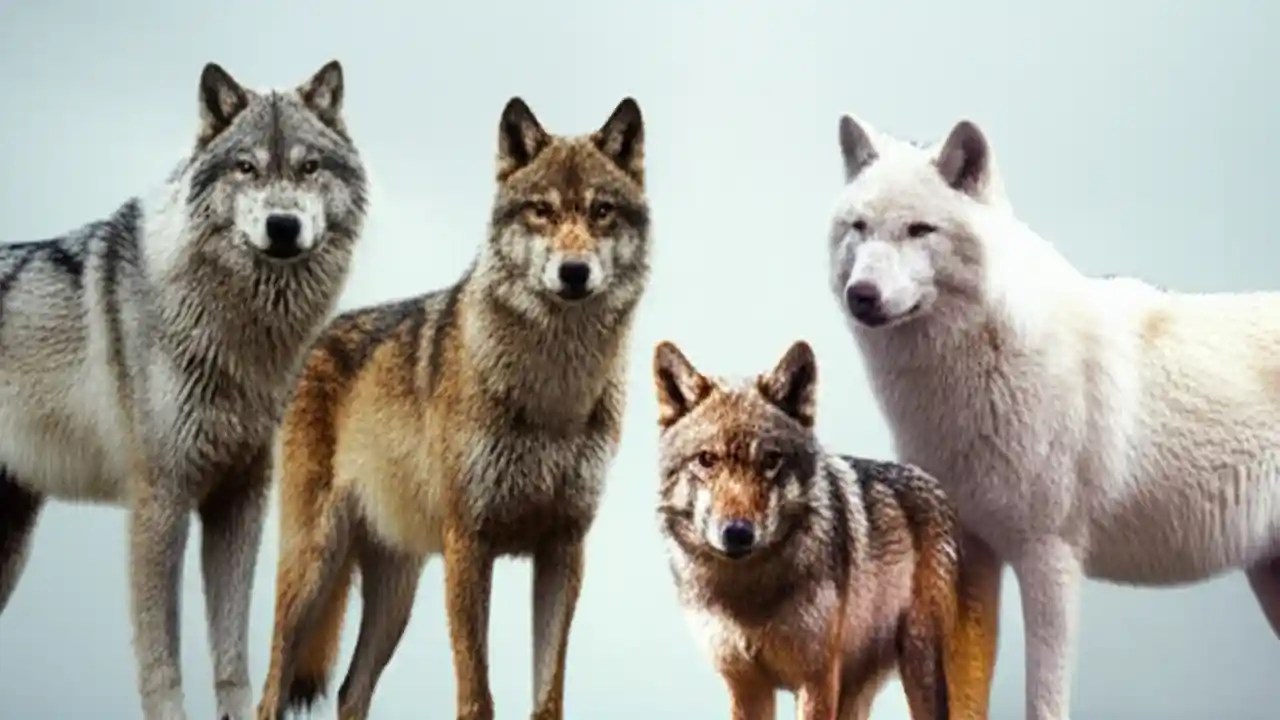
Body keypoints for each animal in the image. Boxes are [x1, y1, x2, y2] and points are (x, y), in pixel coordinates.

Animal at [0, 60, 367, 719]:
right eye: (246, 166)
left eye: (308, 168)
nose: (282, 225)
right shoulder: (160, 501)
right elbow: (162, 661)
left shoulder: (241, 497)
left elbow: (232, 652)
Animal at [254, 95, 649, 720]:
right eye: (541, 211)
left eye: (602, 211)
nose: (574, 272)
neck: (554, 394)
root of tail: (318, 337)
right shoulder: (469, 543)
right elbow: (476, 693)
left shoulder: (564, 549)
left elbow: (548, 695)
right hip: (313, 567)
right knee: (269, 687)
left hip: (397, 594)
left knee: (349, 691)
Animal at [653, 339, 991, 720]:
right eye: (706, 460)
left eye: (771, 460)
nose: (738, 533)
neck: (749, 593)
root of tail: (937, 486)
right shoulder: (746, 686)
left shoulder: (816, 680)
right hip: (857, 685)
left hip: (921, 663)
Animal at [827, 113, 1280, 719]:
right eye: (859, 227)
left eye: (920, 230)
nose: (863, 295)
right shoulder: (973, 556)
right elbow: (966, 694)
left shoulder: (1049, 558)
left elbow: (1043, 699)